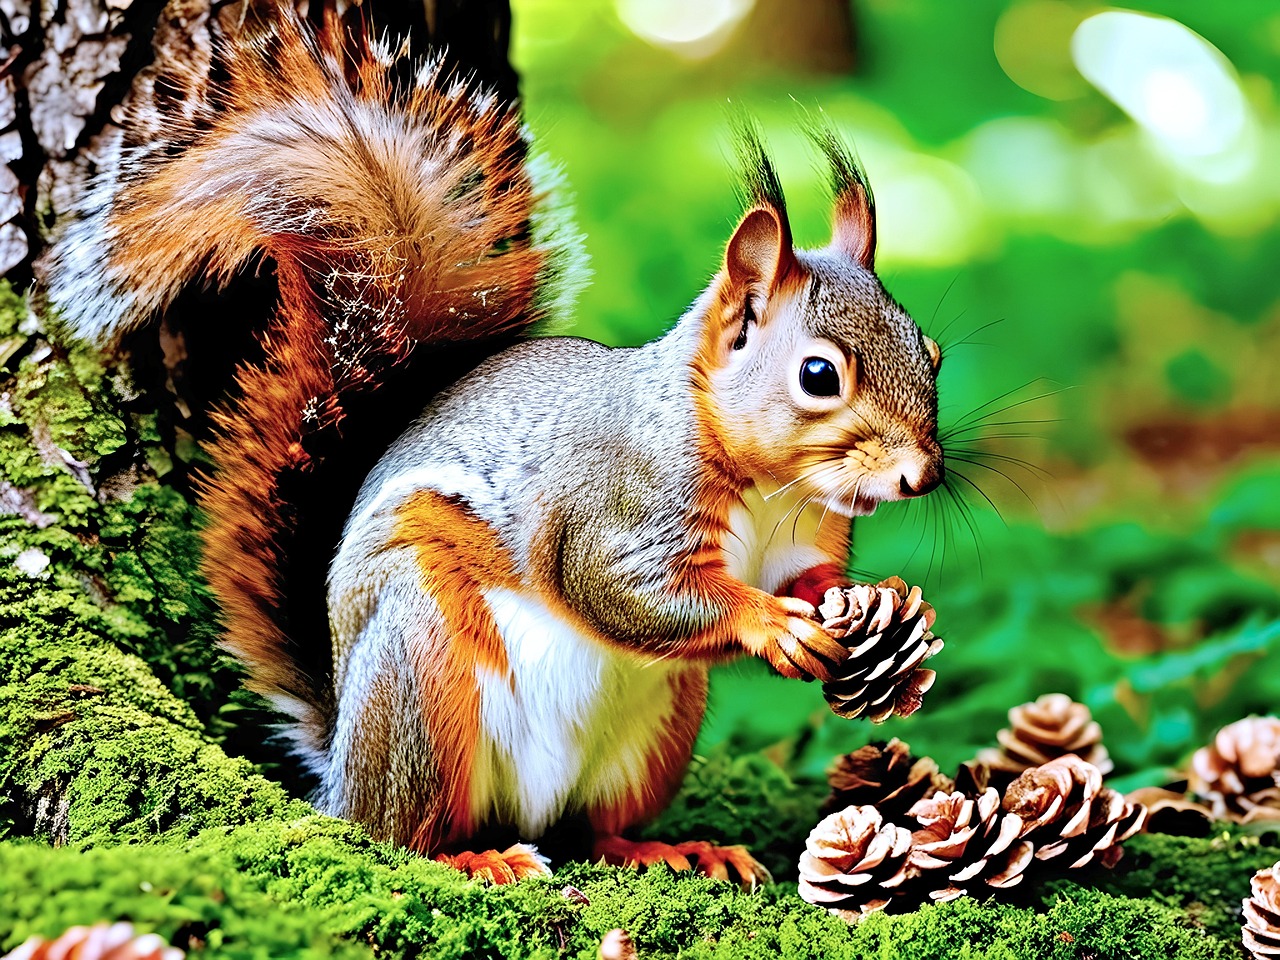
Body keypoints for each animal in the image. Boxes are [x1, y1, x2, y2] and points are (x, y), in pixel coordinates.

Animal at [41, 5, 944, 886]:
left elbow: (811, 579)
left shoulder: (803, 540)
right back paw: (474, 856)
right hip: (421, 673)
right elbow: (621, 589)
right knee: (400, 833)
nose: (921, 476)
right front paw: (770, 624)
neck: (768, 490)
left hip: (655, 732)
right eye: (819, 374)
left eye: (930, 351)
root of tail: (337, 770)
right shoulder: (618, 504)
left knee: (589, 832)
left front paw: (883, 606)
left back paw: (667, 850)